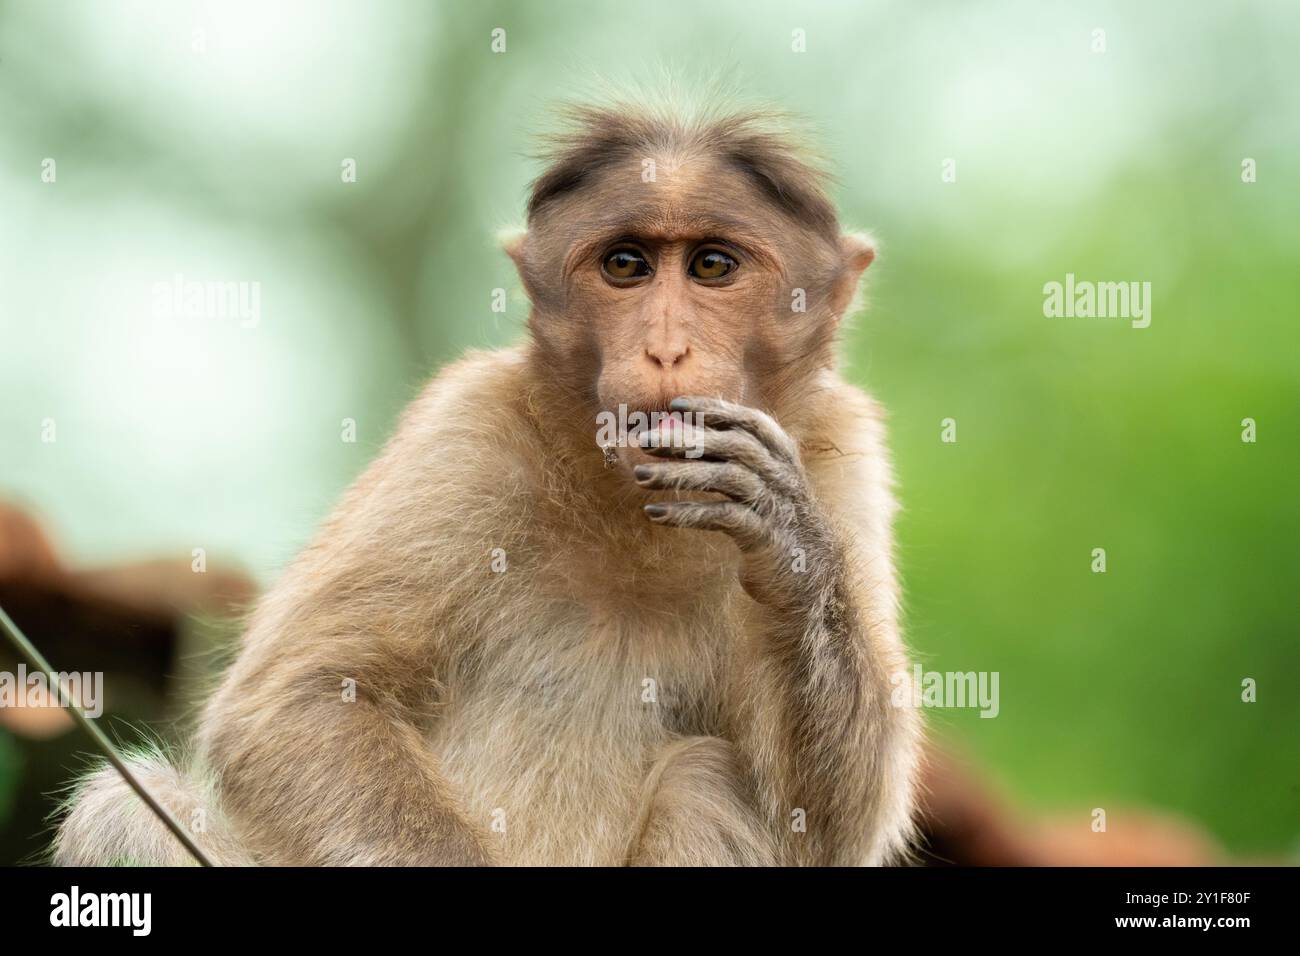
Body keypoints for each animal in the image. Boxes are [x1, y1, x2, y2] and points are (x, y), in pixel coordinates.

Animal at [53, 101, 922, 867]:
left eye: (713, 265)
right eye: (626, 265)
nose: (665, 349)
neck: (629, 509)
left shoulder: (843, 454)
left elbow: (832, 829)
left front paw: (788, 543)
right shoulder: (464, 431)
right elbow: (298, 703)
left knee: (710, 781)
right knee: (123, 812)